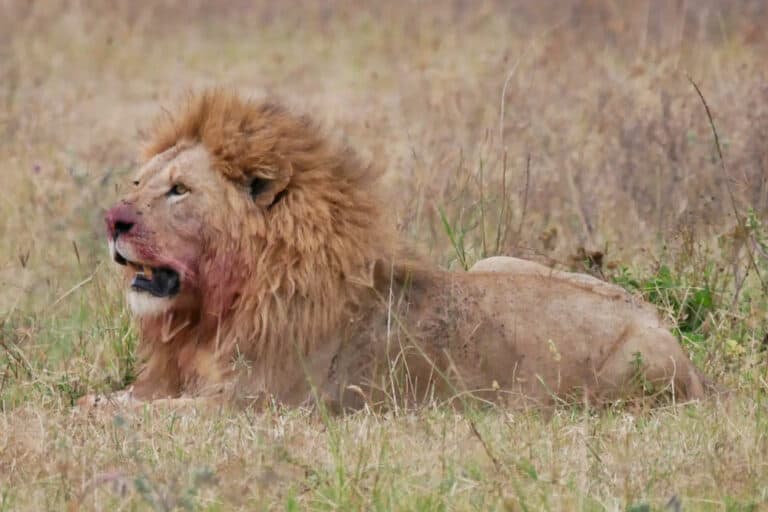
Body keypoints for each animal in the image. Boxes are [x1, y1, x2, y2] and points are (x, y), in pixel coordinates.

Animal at [79, 90, 708, 412]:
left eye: (179, 190)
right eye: (139, 182)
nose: (113, 220)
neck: (214, 313)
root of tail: (667, 331)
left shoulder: (257, 404)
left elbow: (131, 414)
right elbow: (112, 399)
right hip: (493, 260)